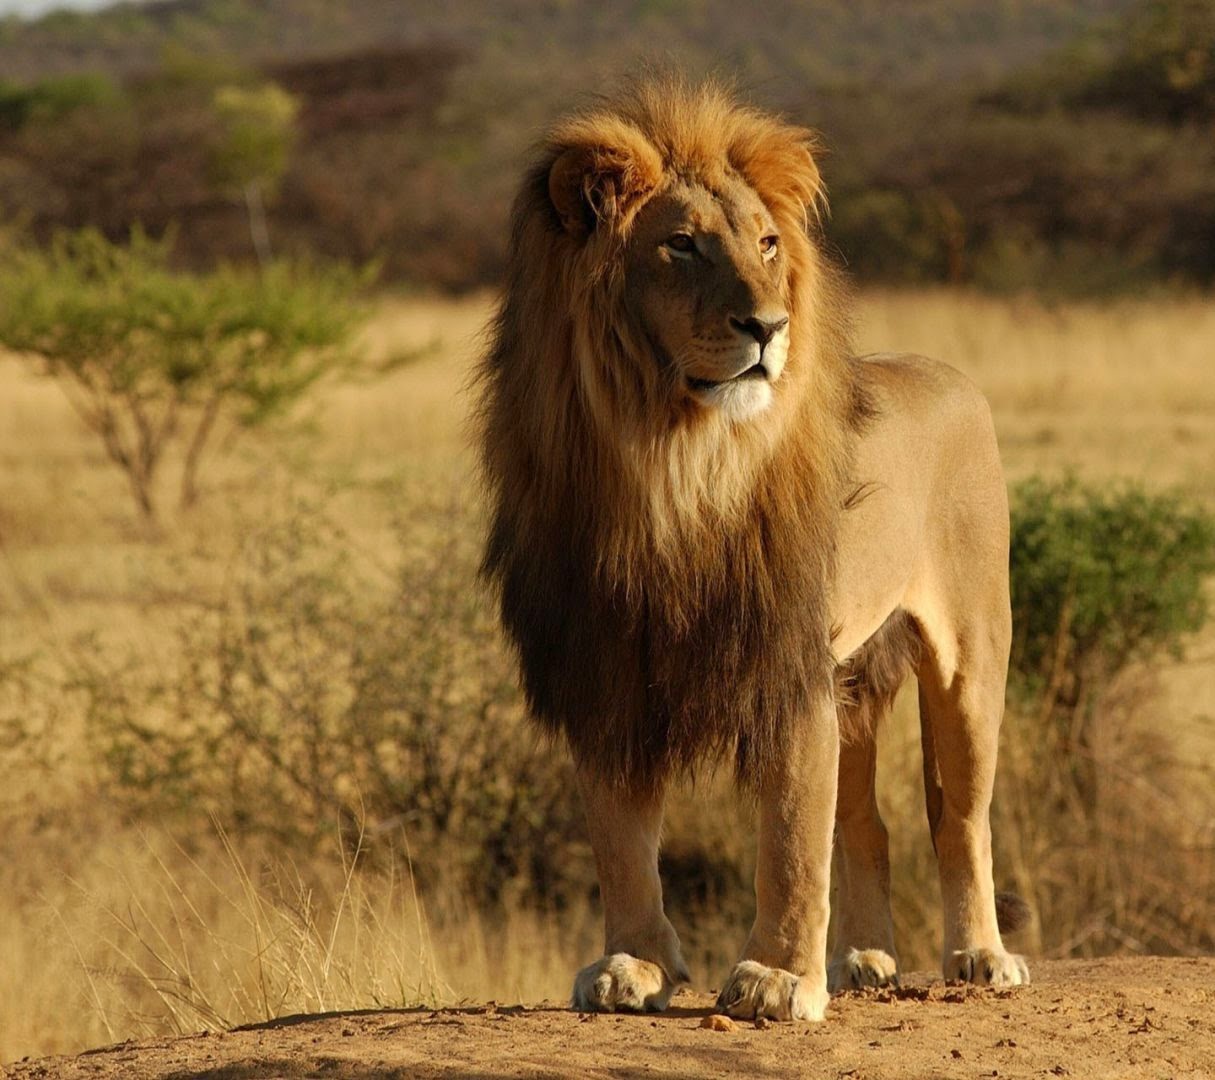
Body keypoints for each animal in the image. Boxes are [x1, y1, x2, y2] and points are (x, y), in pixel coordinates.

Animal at [475, 79, 1028, 1022]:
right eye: (682, 245)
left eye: (767, 244)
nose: (767, 326)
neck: (670, 463)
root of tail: (948, 374)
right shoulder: (606, 665)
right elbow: (620, 837)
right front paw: (633, 965)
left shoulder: (785, 662)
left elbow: (790, 837)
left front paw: (776, 978)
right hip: (855, 678)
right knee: (867, 822)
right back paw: (864, 960)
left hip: (970, 656)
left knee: (958, 817)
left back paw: (979, 956)